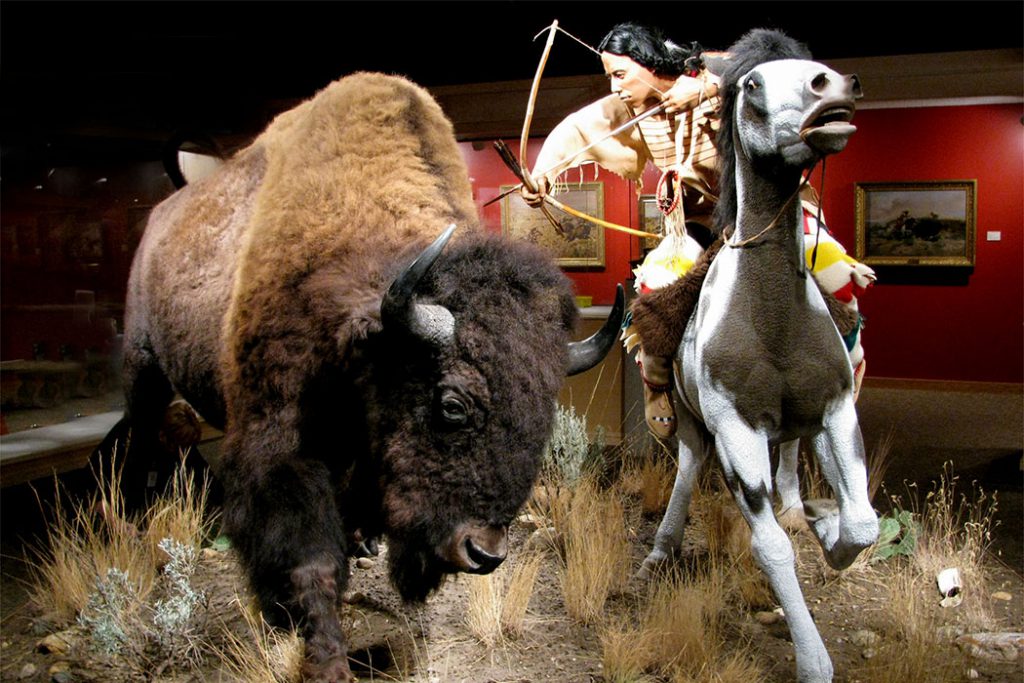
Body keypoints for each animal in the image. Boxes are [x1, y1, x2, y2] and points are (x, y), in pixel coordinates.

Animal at [116, 72, 622, 682]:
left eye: (542, 413)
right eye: (452, 405)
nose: (482, 552)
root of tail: (161, 215)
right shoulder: (282, 449)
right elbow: (310, 562)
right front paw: (325, 659)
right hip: (143, 363)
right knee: (139, 430)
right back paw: (128, 521)